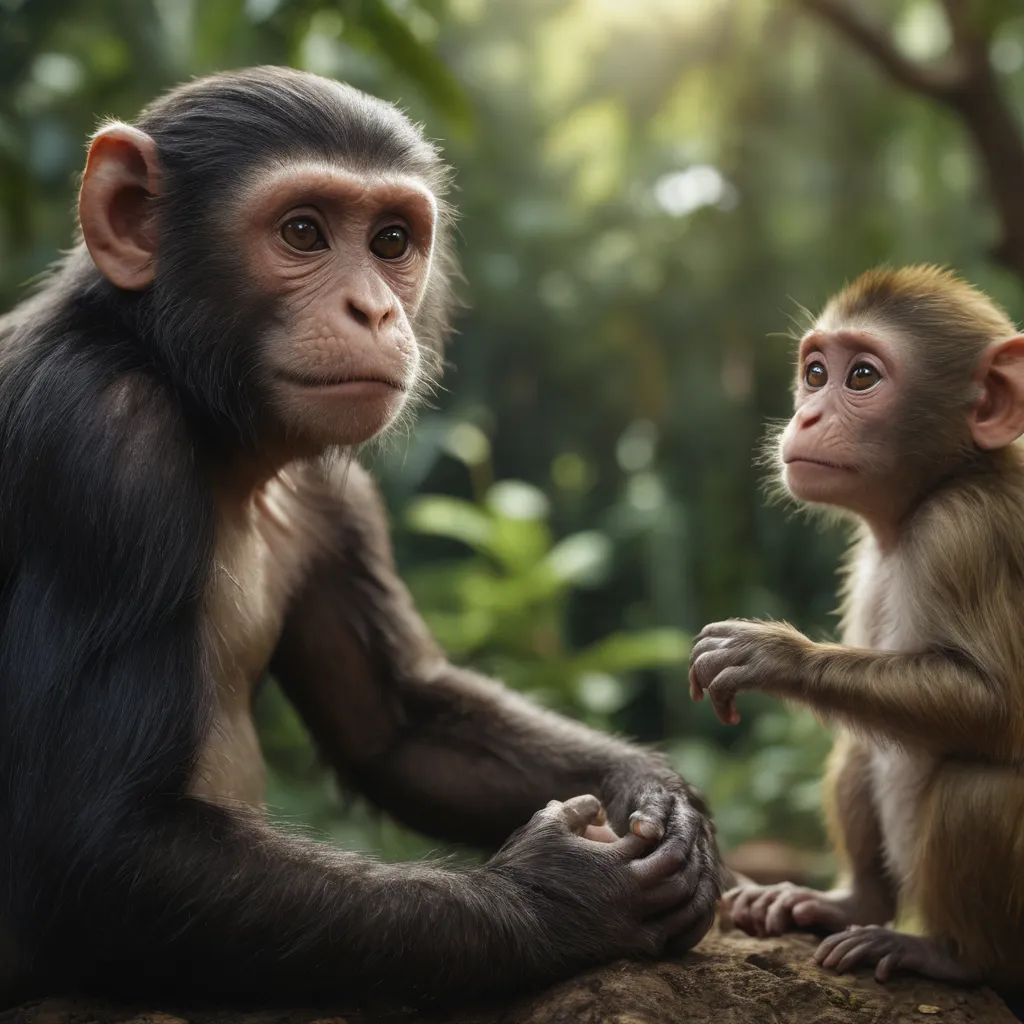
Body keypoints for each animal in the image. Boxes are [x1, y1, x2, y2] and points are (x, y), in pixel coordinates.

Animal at [0, 67, 723, 1006]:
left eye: (390, 242)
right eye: (302, 232)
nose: (373, 309)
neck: (188, 392)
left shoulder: (333, 500)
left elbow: (395, 719)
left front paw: (658, 795)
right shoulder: (100, 452)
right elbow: (97, 838)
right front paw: (560, 895)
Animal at [688, 265, 1024, 995]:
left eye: (862, 377)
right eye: (816, 374)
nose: (806, 416)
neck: (929, 495)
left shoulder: (966, 531)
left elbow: (997, 705)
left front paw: (772, 656)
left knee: (978, 787)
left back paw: (955, 957)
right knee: (863, 739)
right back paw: (849, 904)